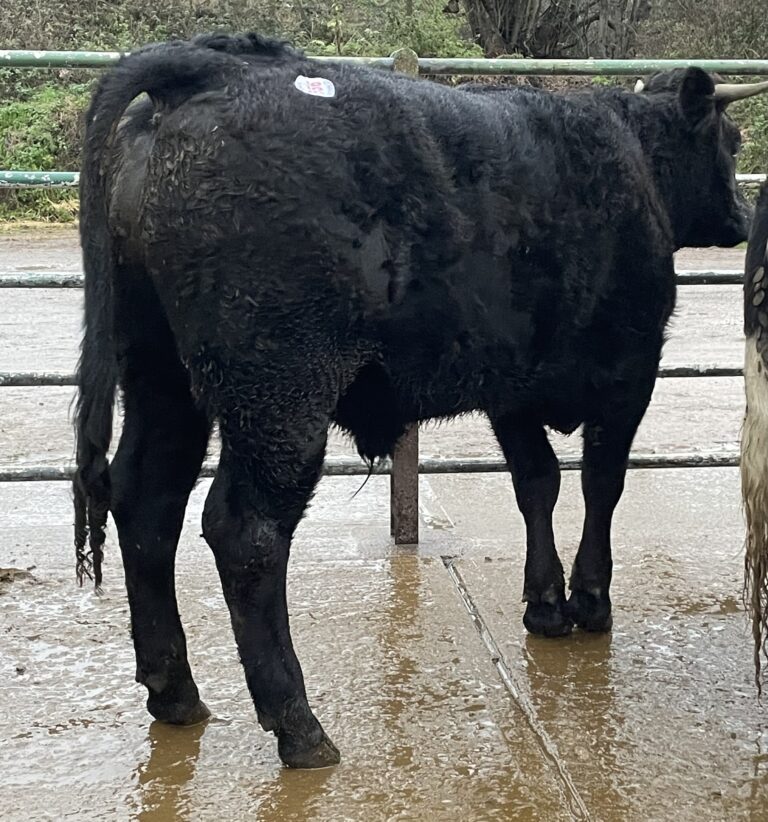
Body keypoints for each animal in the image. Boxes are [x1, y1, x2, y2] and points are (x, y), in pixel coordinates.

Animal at [73, 31, 768, 767]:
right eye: (731, 138)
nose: (741, 213)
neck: (627, 159)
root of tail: (214, 66)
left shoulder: (513, 389)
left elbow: (538, 484)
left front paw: (546, 603)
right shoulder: (630, 374)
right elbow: (600, 485)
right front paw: (591, 599)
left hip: (161, 378)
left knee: (147, 503)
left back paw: (175, 691)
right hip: (280, 396)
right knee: (245, 533)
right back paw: (299, 725)